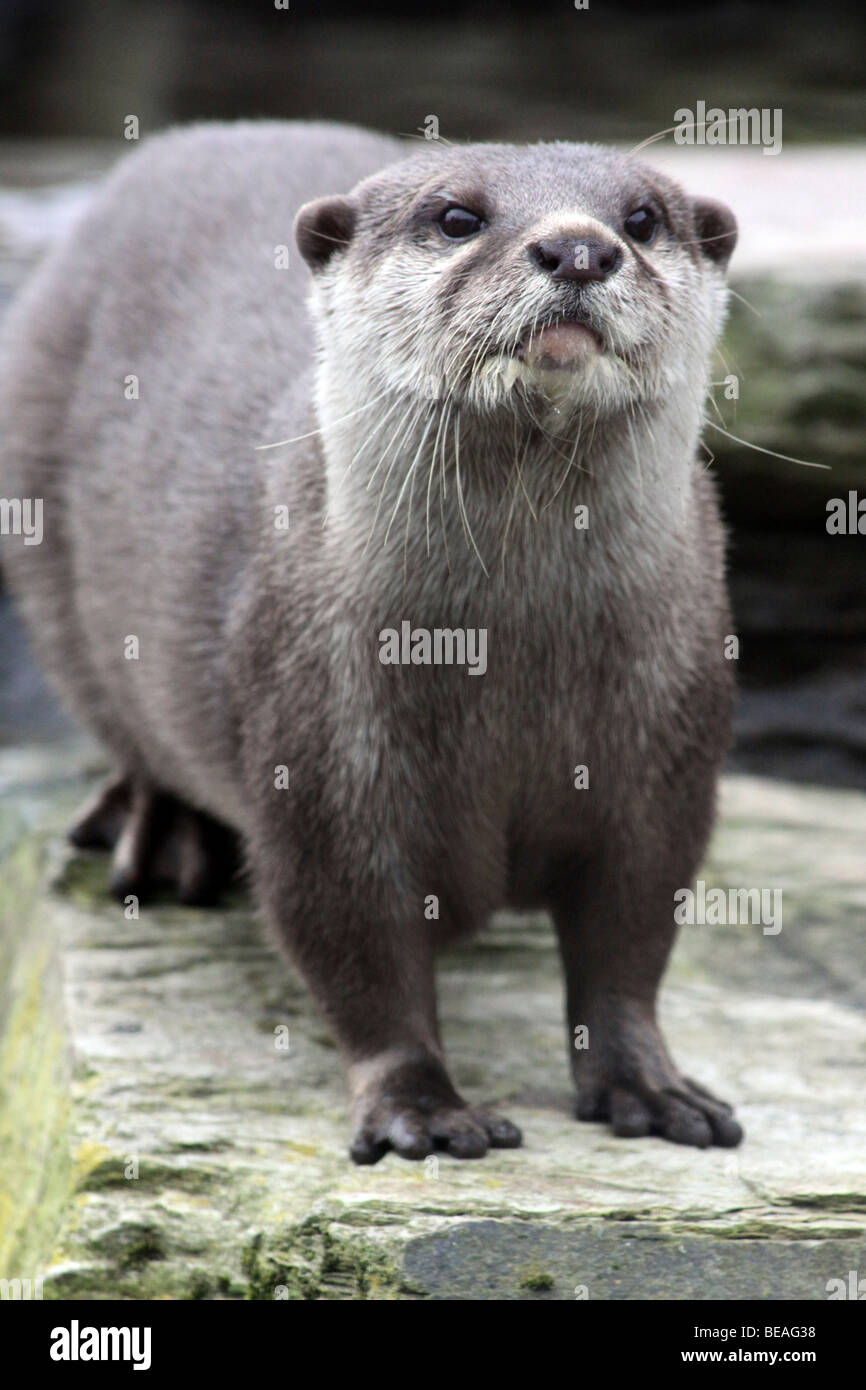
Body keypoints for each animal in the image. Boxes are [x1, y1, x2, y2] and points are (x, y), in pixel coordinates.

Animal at [0, 121, 743, 1161]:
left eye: (641, 219)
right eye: (457, 216)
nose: (577, 248)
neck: (500, 655)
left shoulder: (666, 753)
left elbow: (631, 935)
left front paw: (651, 1086)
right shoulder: (323, 753)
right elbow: (355, 945)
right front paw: (419, 1110)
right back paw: (163, 834)